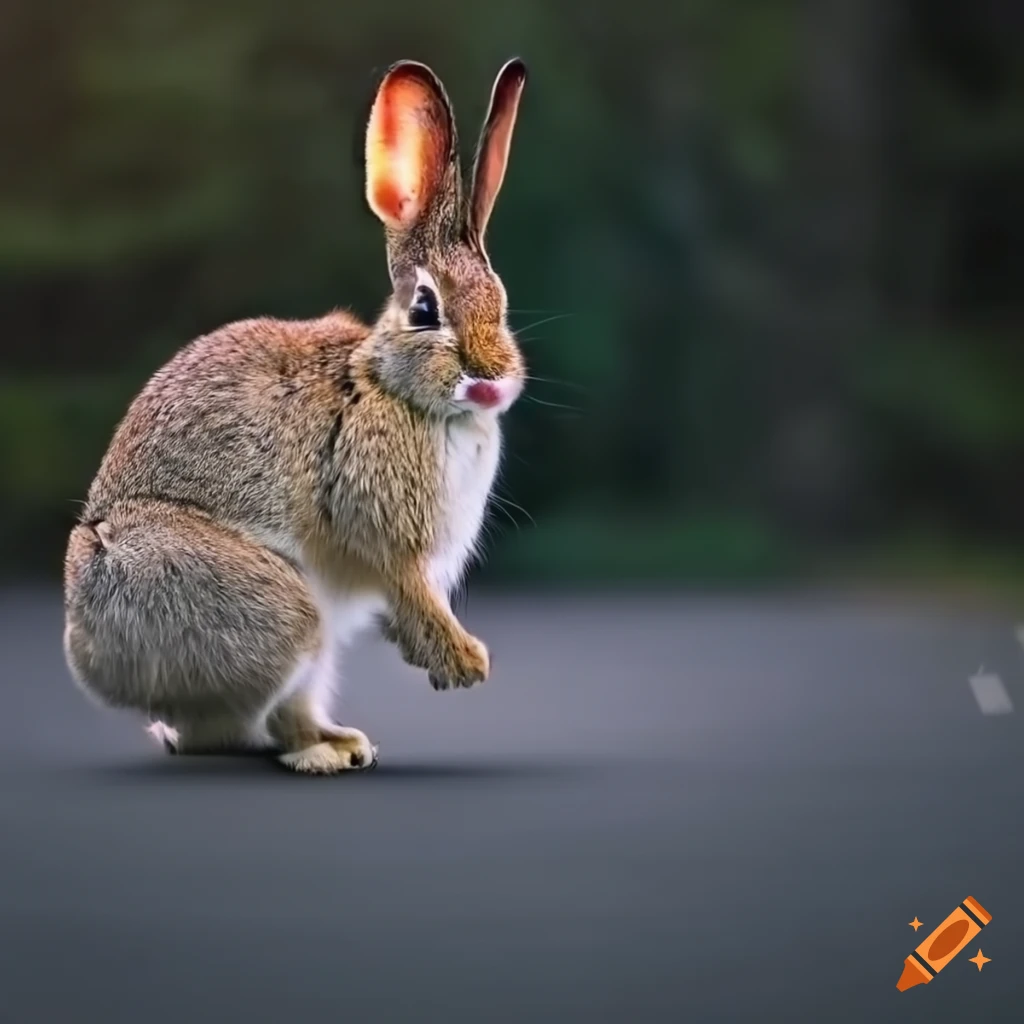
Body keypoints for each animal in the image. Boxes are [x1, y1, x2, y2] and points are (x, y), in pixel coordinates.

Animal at [62, 58, 529, 773]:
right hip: (268, 610)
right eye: (426, 310)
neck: (390, 385)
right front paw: (465, 662)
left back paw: (345, 743)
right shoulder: (386, 532)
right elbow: (411, 592)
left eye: (500, 303)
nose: (491, 382)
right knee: (232, 729)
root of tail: (84, 648)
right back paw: (321, 755)